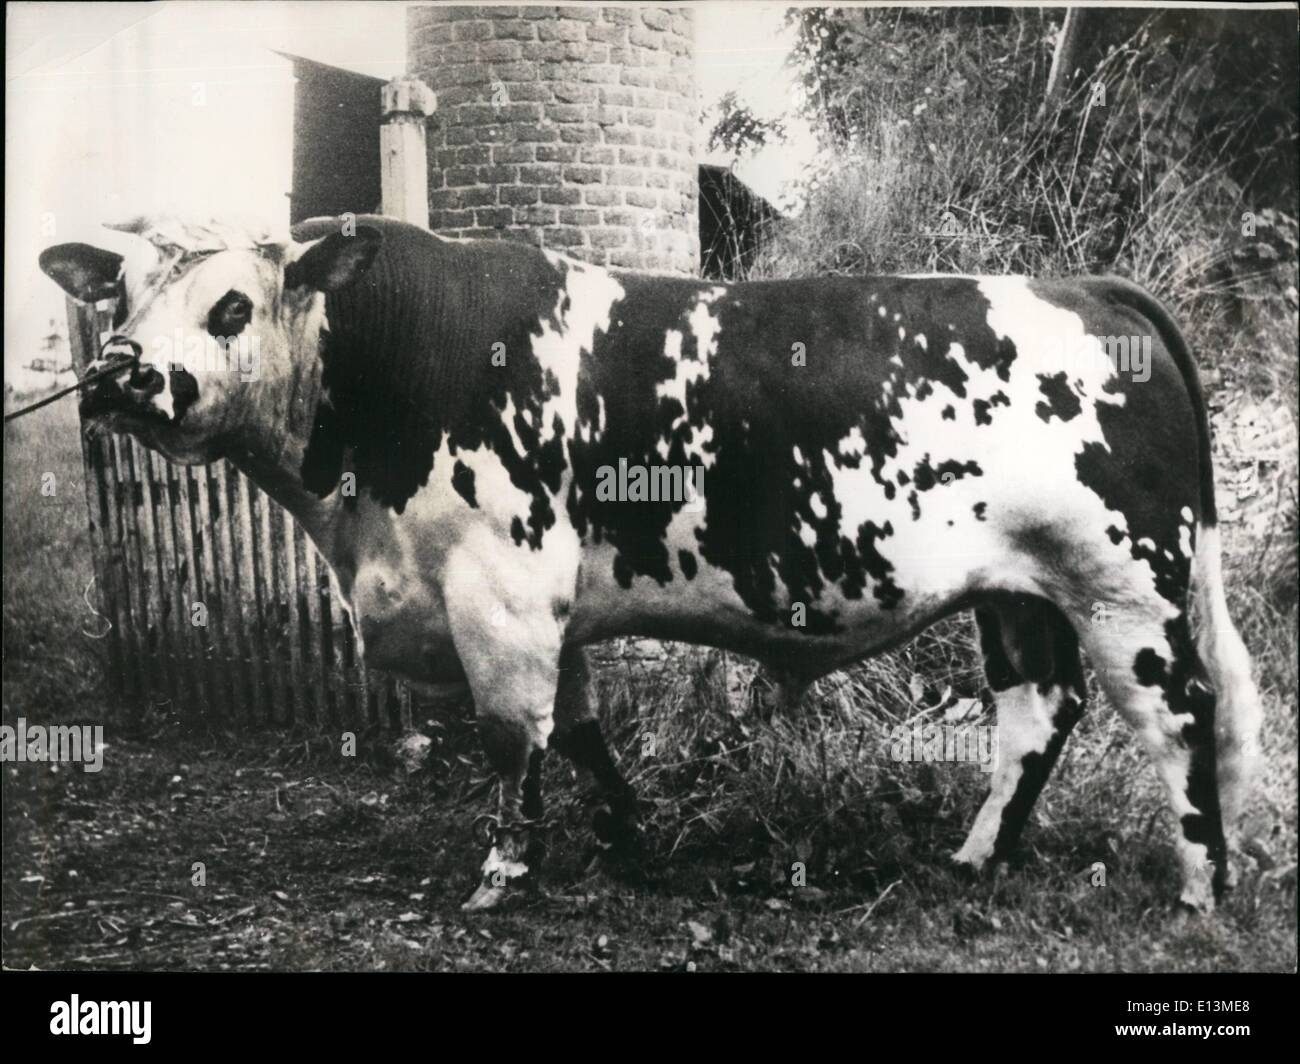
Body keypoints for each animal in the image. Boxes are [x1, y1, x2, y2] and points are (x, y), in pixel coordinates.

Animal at [39, 214, 1261, 913]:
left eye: (229, 305)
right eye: (120, 297)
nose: (117, 373)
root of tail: (1091, 287)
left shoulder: (499, 593)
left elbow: (512, 736)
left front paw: (503, 878)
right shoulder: (543, 606)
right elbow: (579, 730)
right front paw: (632, 846)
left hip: (1127, 582)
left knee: (1178, 715)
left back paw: (1201, 889)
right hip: (1019, 589)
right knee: (1037, 713)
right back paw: (973, 860)